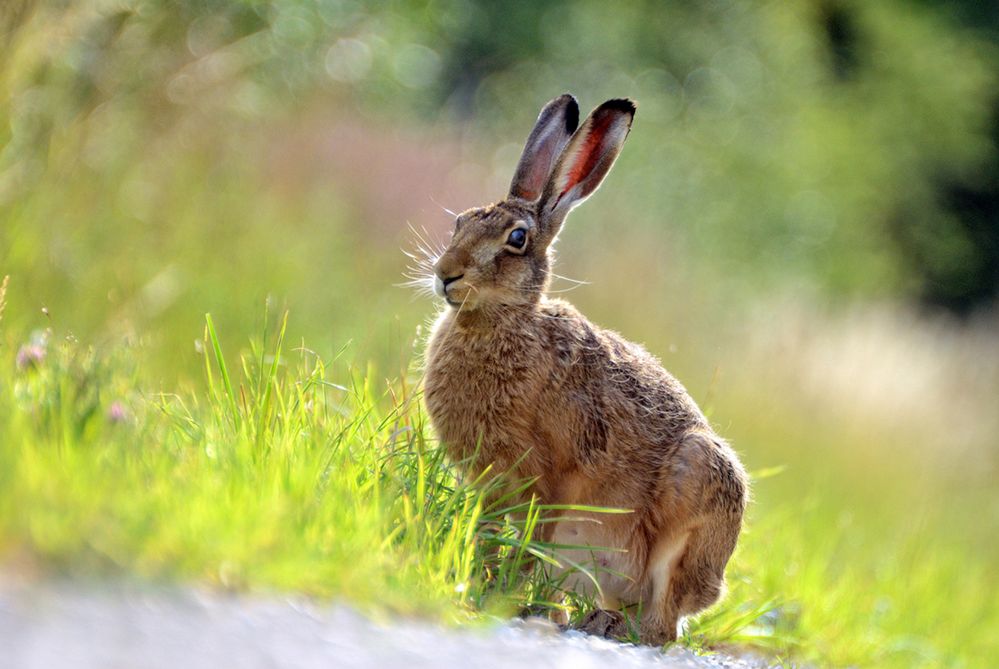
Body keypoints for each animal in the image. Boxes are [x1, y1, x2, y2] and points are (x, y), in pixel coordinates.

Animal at [422, 94, 748, 646]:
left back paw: (602, 624)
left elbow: (533, 539)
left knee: (662, 625)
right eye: (460, 221)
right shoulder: (491, 488)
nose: (446, 274)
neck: (505, 323)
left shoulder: (551, 478)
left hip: (695, 493)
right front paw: (481, 585)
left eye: (517, 238)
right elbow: (490, 536)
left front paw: (503, 595)